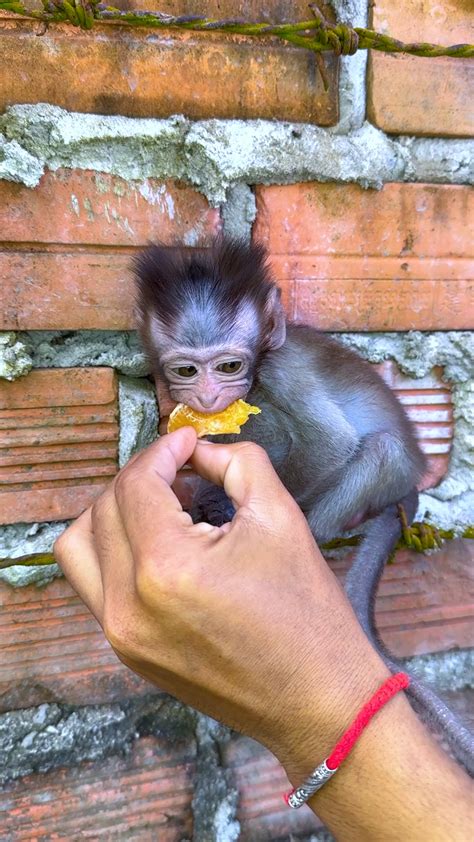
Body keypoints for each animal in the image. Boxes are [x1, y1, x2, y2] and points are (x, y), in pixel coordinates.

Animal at [133, 236, 474, 775]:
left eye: (228, 366)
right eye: (186, 370)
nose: (207, 394)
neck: (257, 366)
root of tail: (415, 477)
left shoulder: (281, 371)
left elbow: (331, 444)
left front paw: (242, 513)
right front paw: (212, 495)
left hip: (391, 469)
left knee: (373, 450)